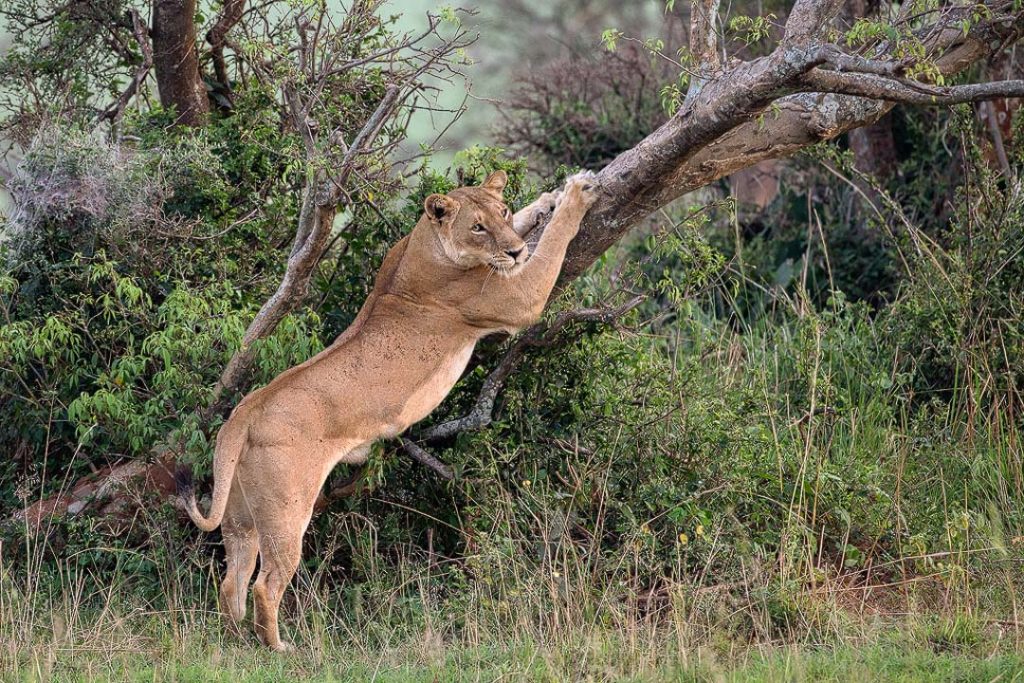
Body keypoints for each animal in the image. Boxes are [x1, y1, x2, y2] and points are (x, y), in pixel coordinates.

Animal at [178, 169, 599, 650]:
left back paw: (237, 639)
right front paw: (576, 195)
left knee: (232, 577)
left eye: (502, 212)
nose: (513, 250)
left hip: (240, 512)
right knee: (266, 583)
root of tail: (244, 412)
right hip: (287, 507)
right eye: (477, 228)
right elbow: (551, 247)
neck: (424, 243)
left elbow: (533, 223)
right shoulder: (514, 298)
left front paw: (547, 199)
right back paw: (278, 647)